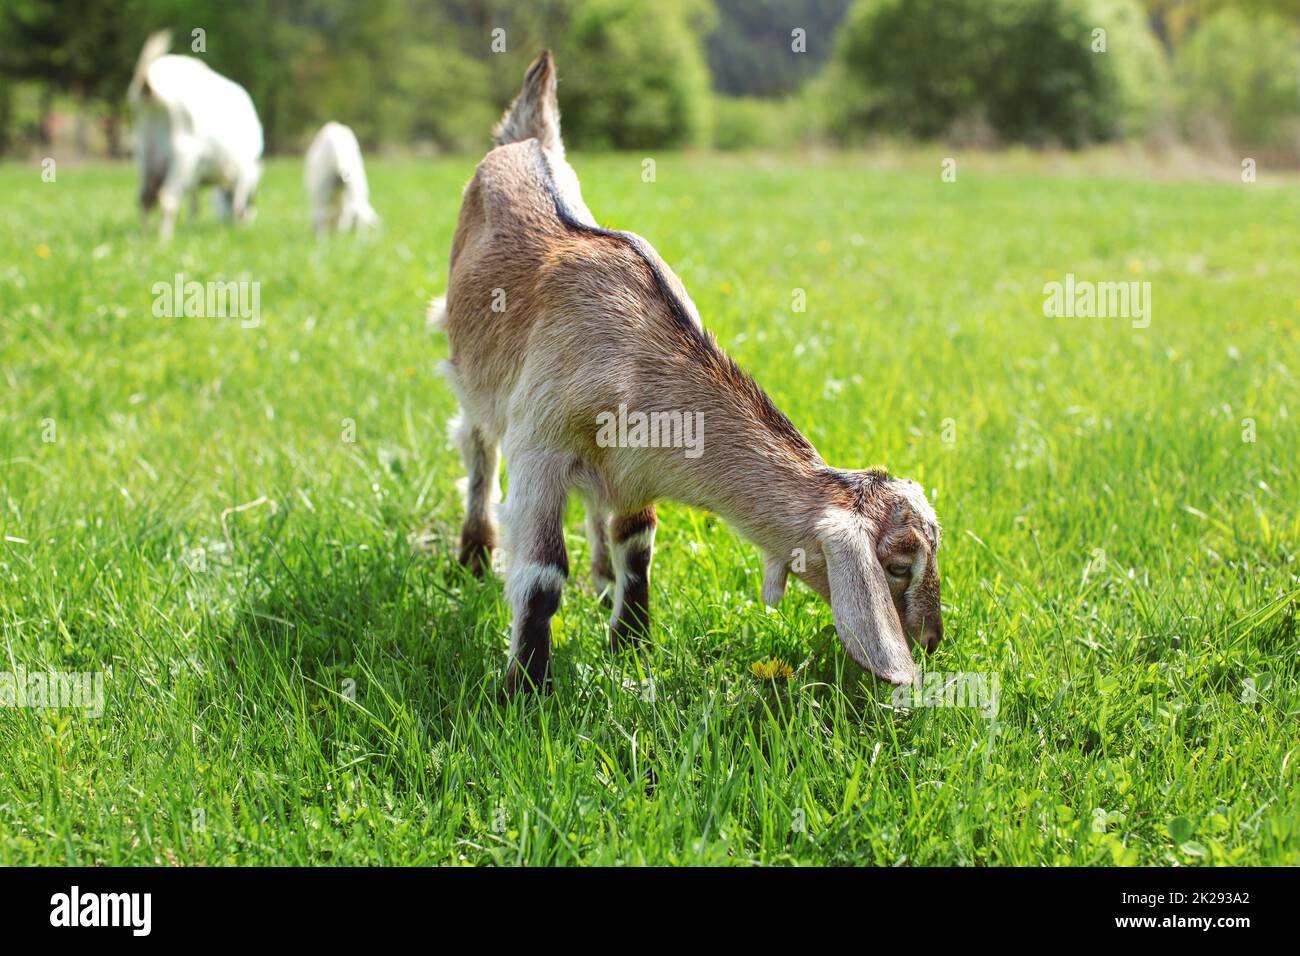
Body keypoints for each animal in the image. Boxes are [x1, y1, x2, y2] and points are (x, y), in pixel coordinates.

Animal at [129, 31, 263, 240]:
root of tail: (149, 83)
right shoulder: (244, 168)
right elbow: (238, 205)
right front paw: (239, 228)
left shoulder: (195, 176)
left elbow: (194, 204)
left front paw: (193, 228)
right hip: (182, 153)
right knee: (167, 199)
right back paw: (164, 240)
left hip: (144, 152)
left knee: (145, 198)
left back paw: (145, 238)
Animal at [435, 51, 943, 695]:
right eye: (899, 564)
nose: (932, 641)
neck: (633, 356)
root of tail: (526, 140)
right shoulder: (540, 449)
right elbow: (544, 573)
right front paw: (525, 688)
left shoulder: (635, 470)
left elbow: (637, 548)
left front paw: (630, 644)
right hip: (469, 369)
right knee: (477, 448)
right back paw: (475, 556)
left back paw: (600, 582)